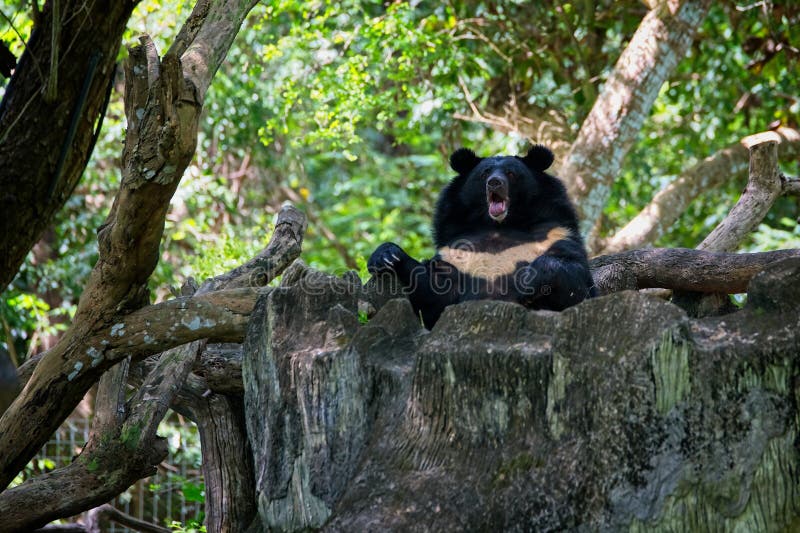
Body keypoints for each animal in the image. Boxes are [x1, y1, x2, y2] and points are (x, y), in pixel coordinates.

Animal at [368, 145, 596, 329]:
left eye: (511, 173)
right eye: (485, 173)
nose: (494, 183)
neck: (499, 225)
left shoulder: (554, 233)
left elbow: (576, 284)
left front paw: (528, 280)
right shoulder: (455, 251)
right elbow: (435, 292)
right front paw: (387, 256)